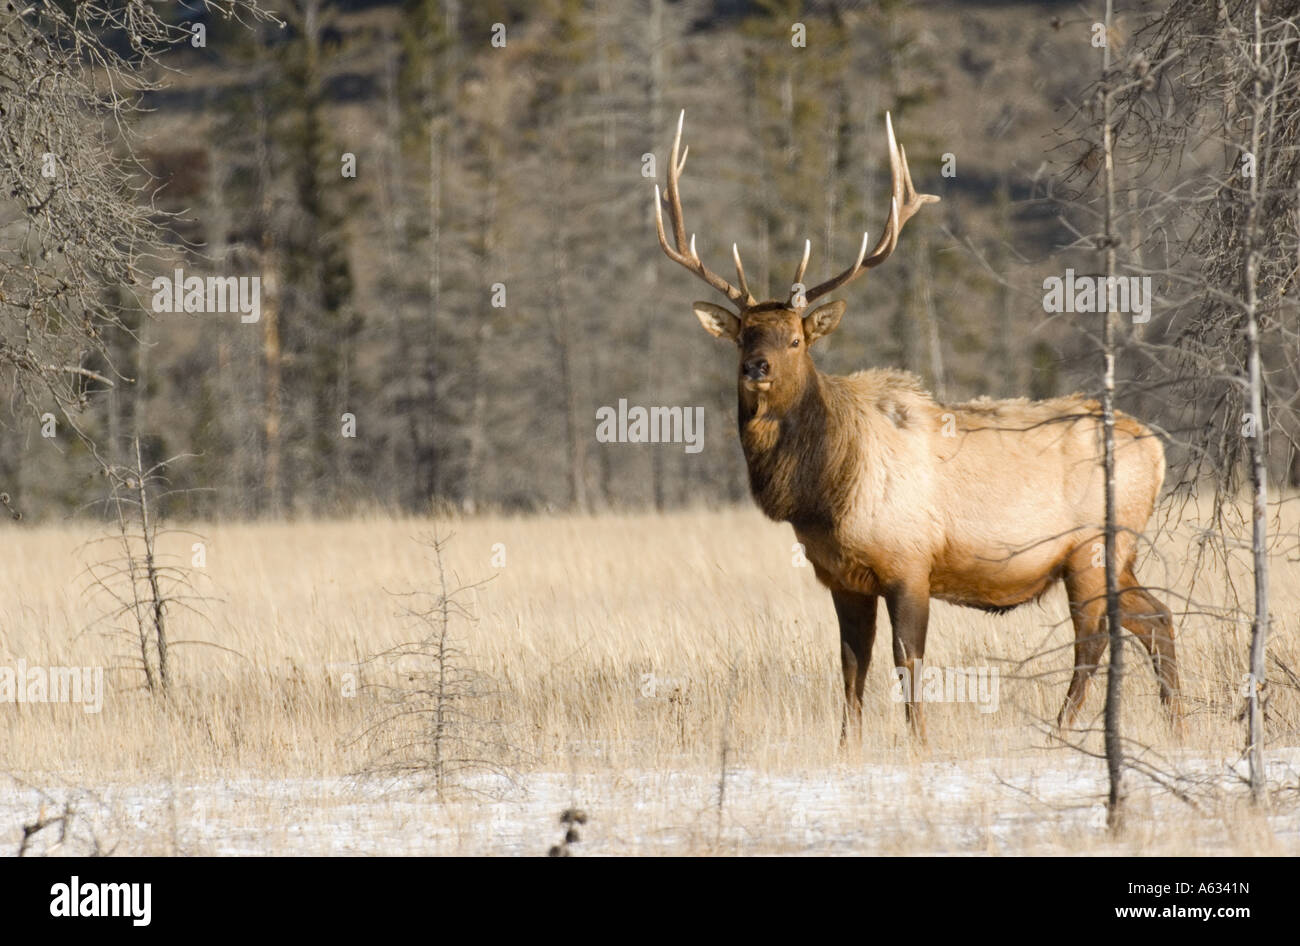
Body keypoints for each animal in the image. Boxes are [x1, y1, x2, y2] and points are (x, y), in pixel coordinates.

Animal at [653, 110, 1183, 741]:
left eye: (795, 339)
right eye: (743, 338)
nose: (756, 367)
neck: (824, 492)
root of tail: (1156, 448)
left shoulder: (909, 562)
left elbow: (908, 660)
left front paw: (919, 742)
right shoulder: (841, 577)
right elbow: (851, 665)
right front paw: (848, 745)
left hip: (1095, 545)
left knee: (1094, 638)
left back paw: (1063, 727)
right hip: (1119, 554)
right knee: (1158, 617)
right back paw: (1179, 719)